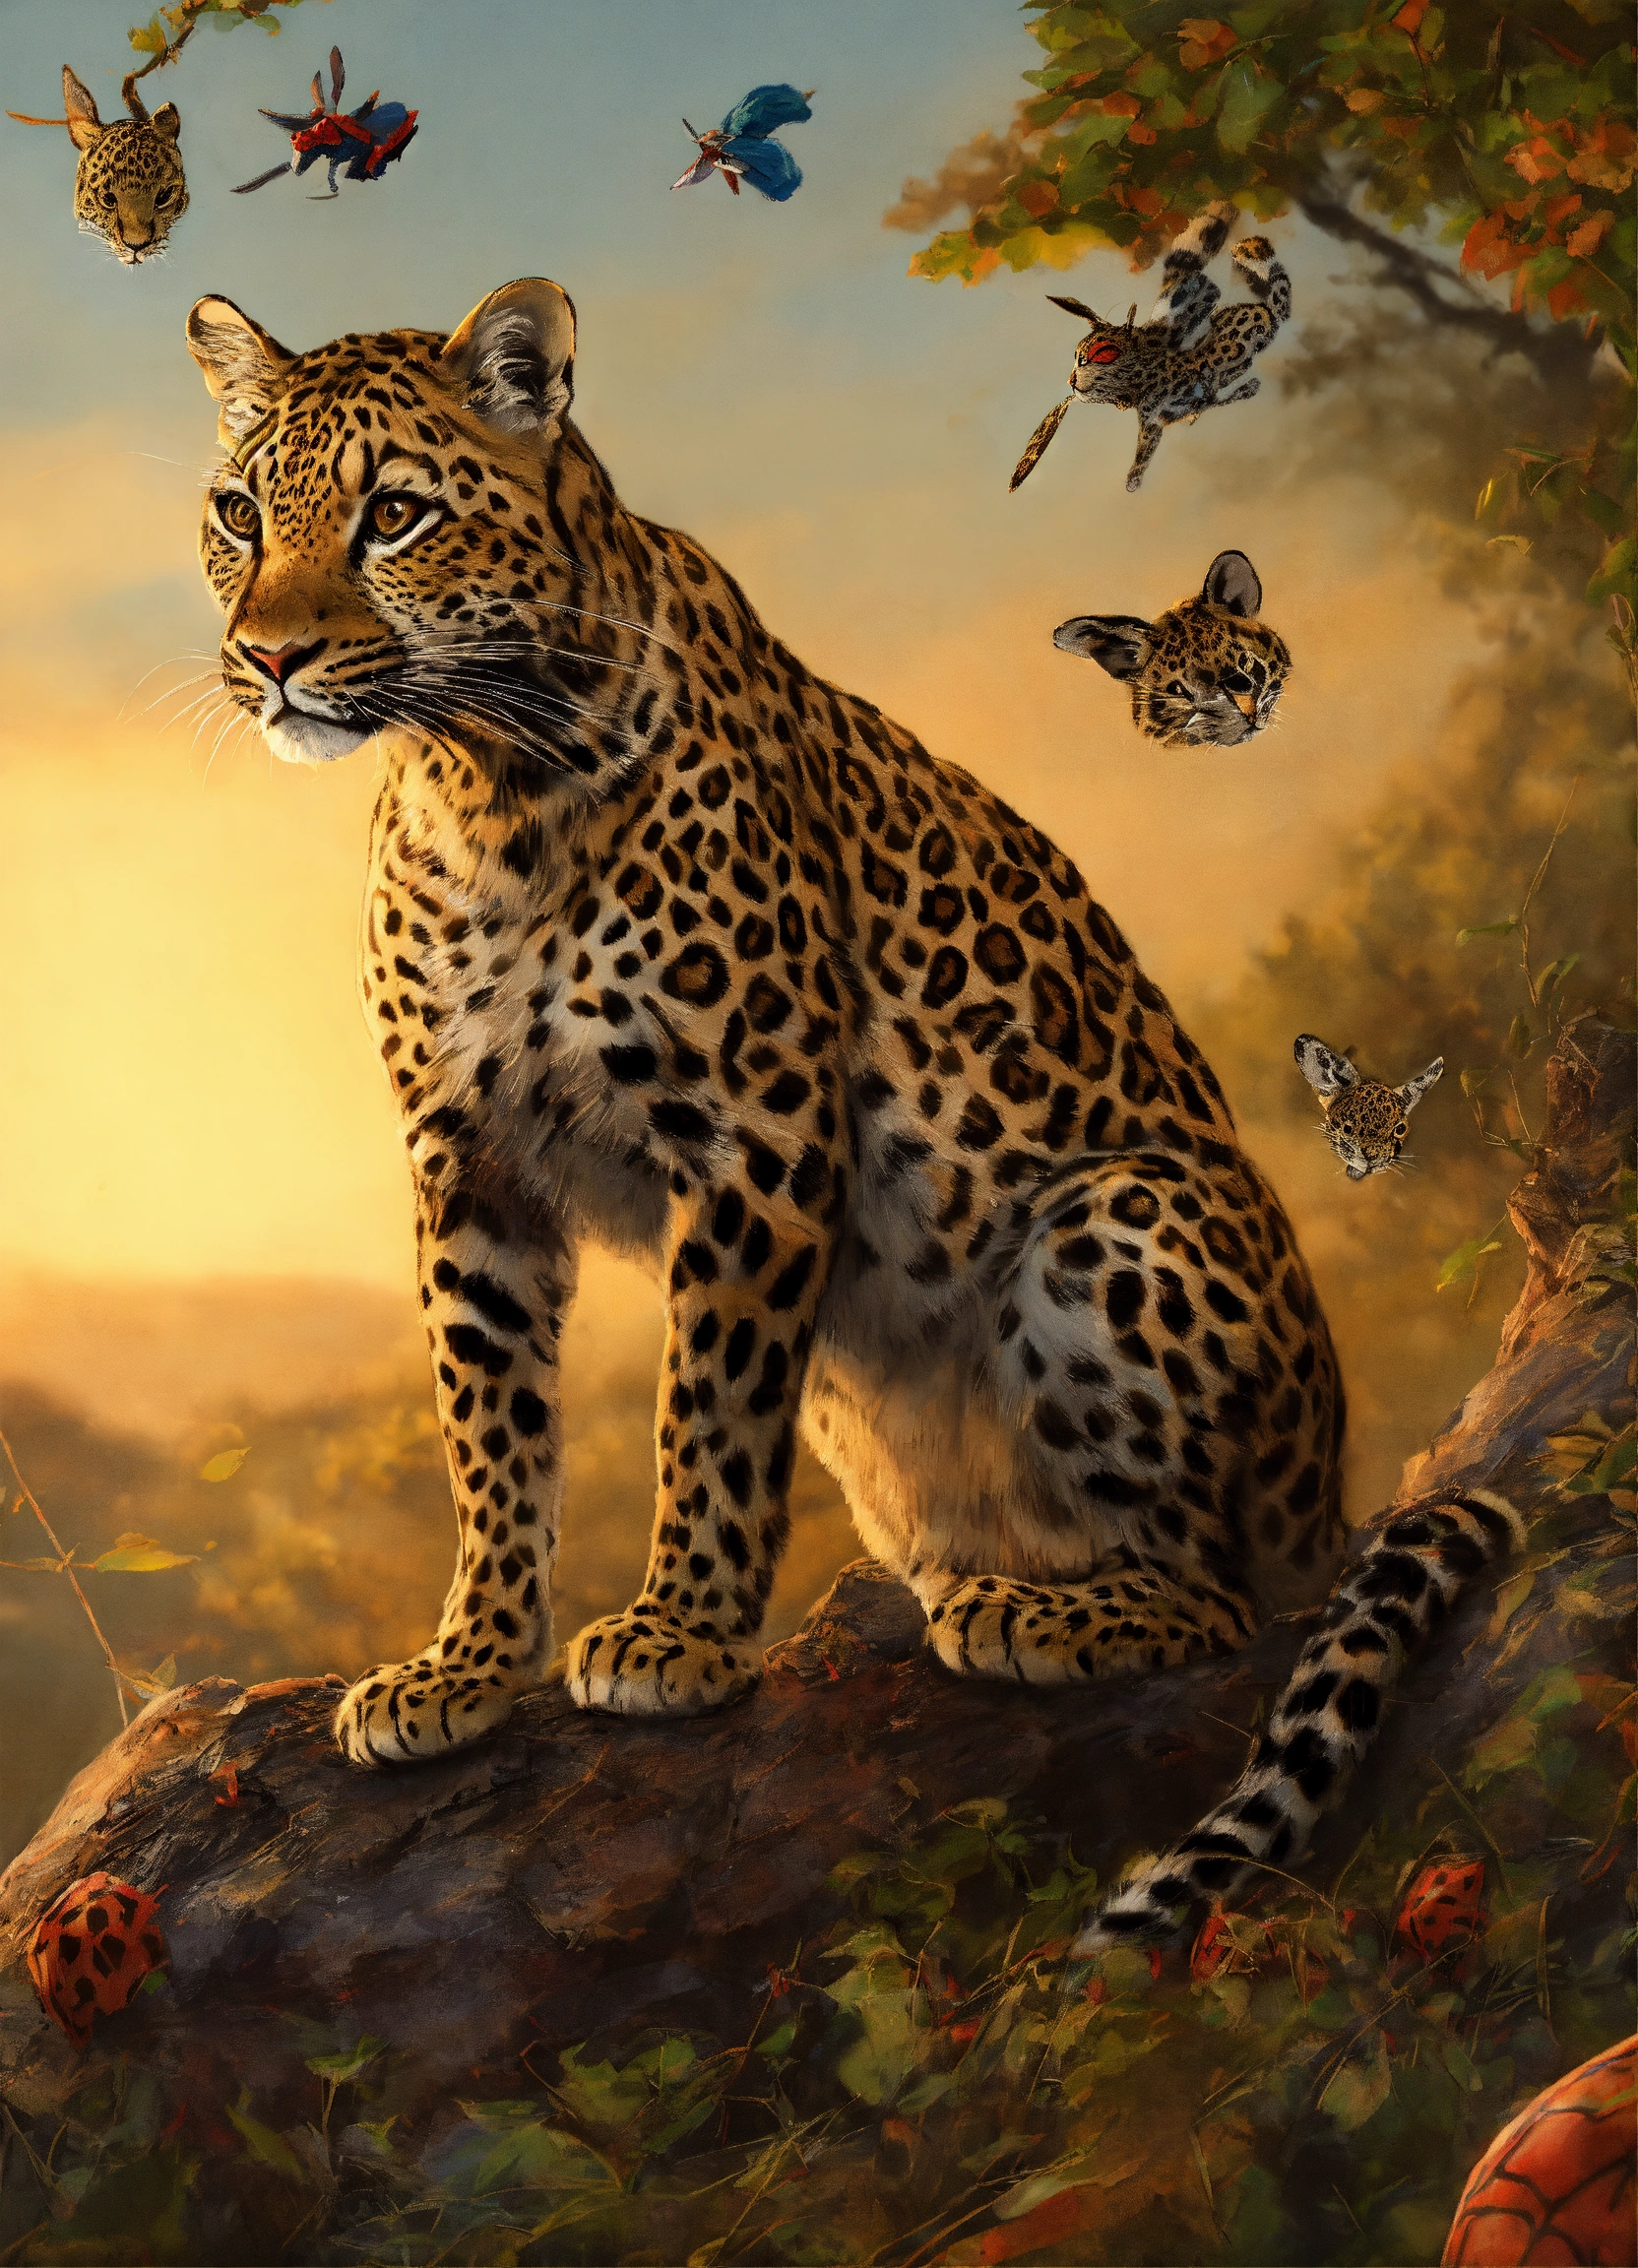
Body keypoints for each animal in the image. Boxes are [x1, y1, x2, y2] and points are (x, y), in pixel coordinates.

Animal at [1010, 202, 1290, 495]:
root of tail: (1265, 311)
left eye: (1101, 353)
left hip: (1243, 336)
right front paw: (1134, 479)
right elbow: (1149, 443)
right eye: (1075, 359)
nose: (1071, 380)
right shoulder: (1152, 421)